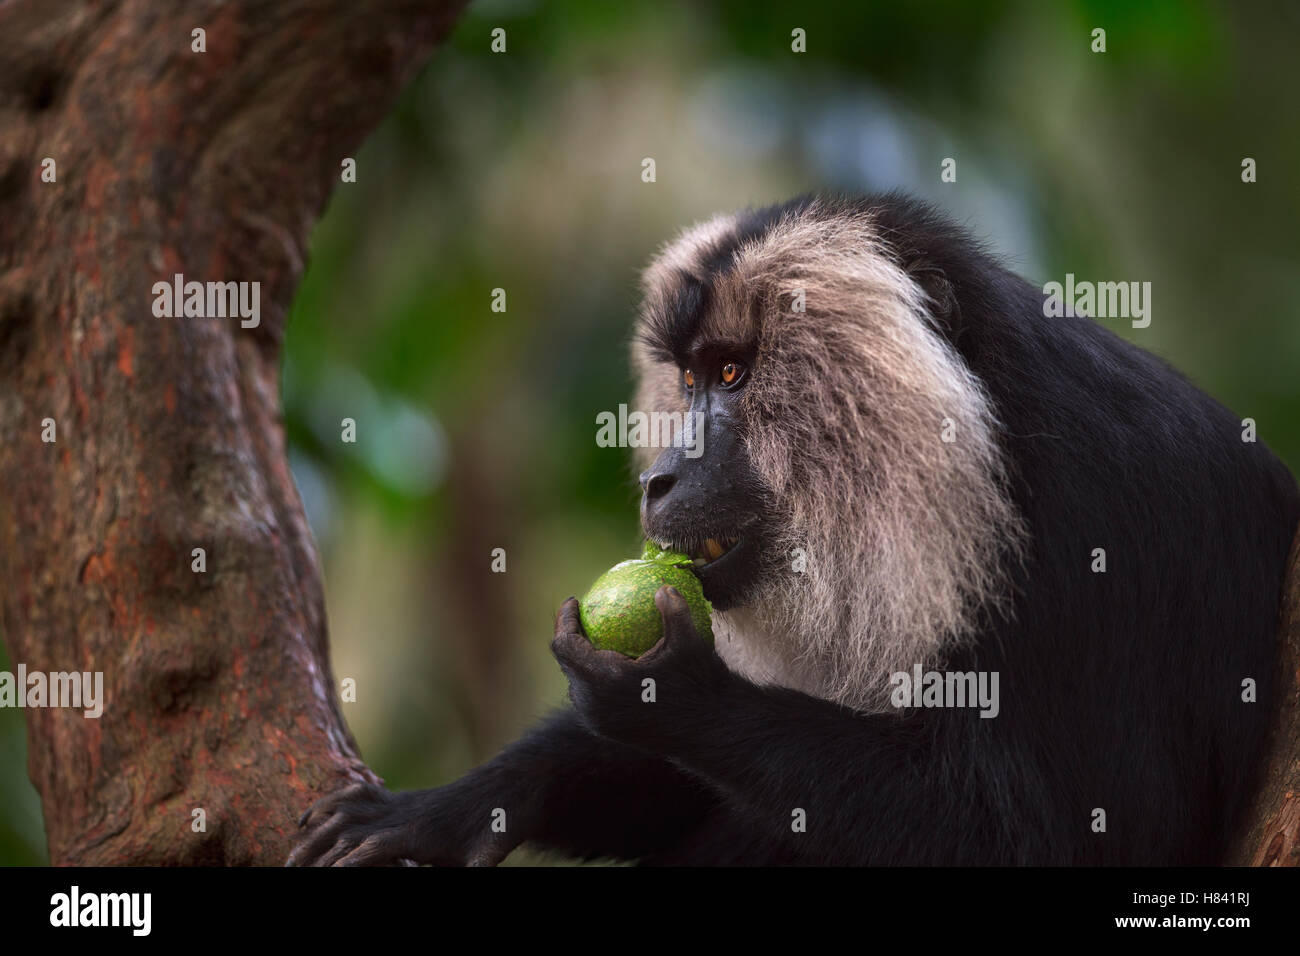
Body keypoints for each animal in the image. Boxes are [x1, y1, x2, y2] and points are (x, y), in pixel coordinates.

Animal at [288, 193, 1300, 866]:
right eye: (690, 381)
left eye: (735, 376)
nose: (658, 480)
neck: (988, 462)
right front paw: (462, 806)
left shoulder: (1100, 526)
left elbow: (1074, 833)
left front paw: (673, 695)